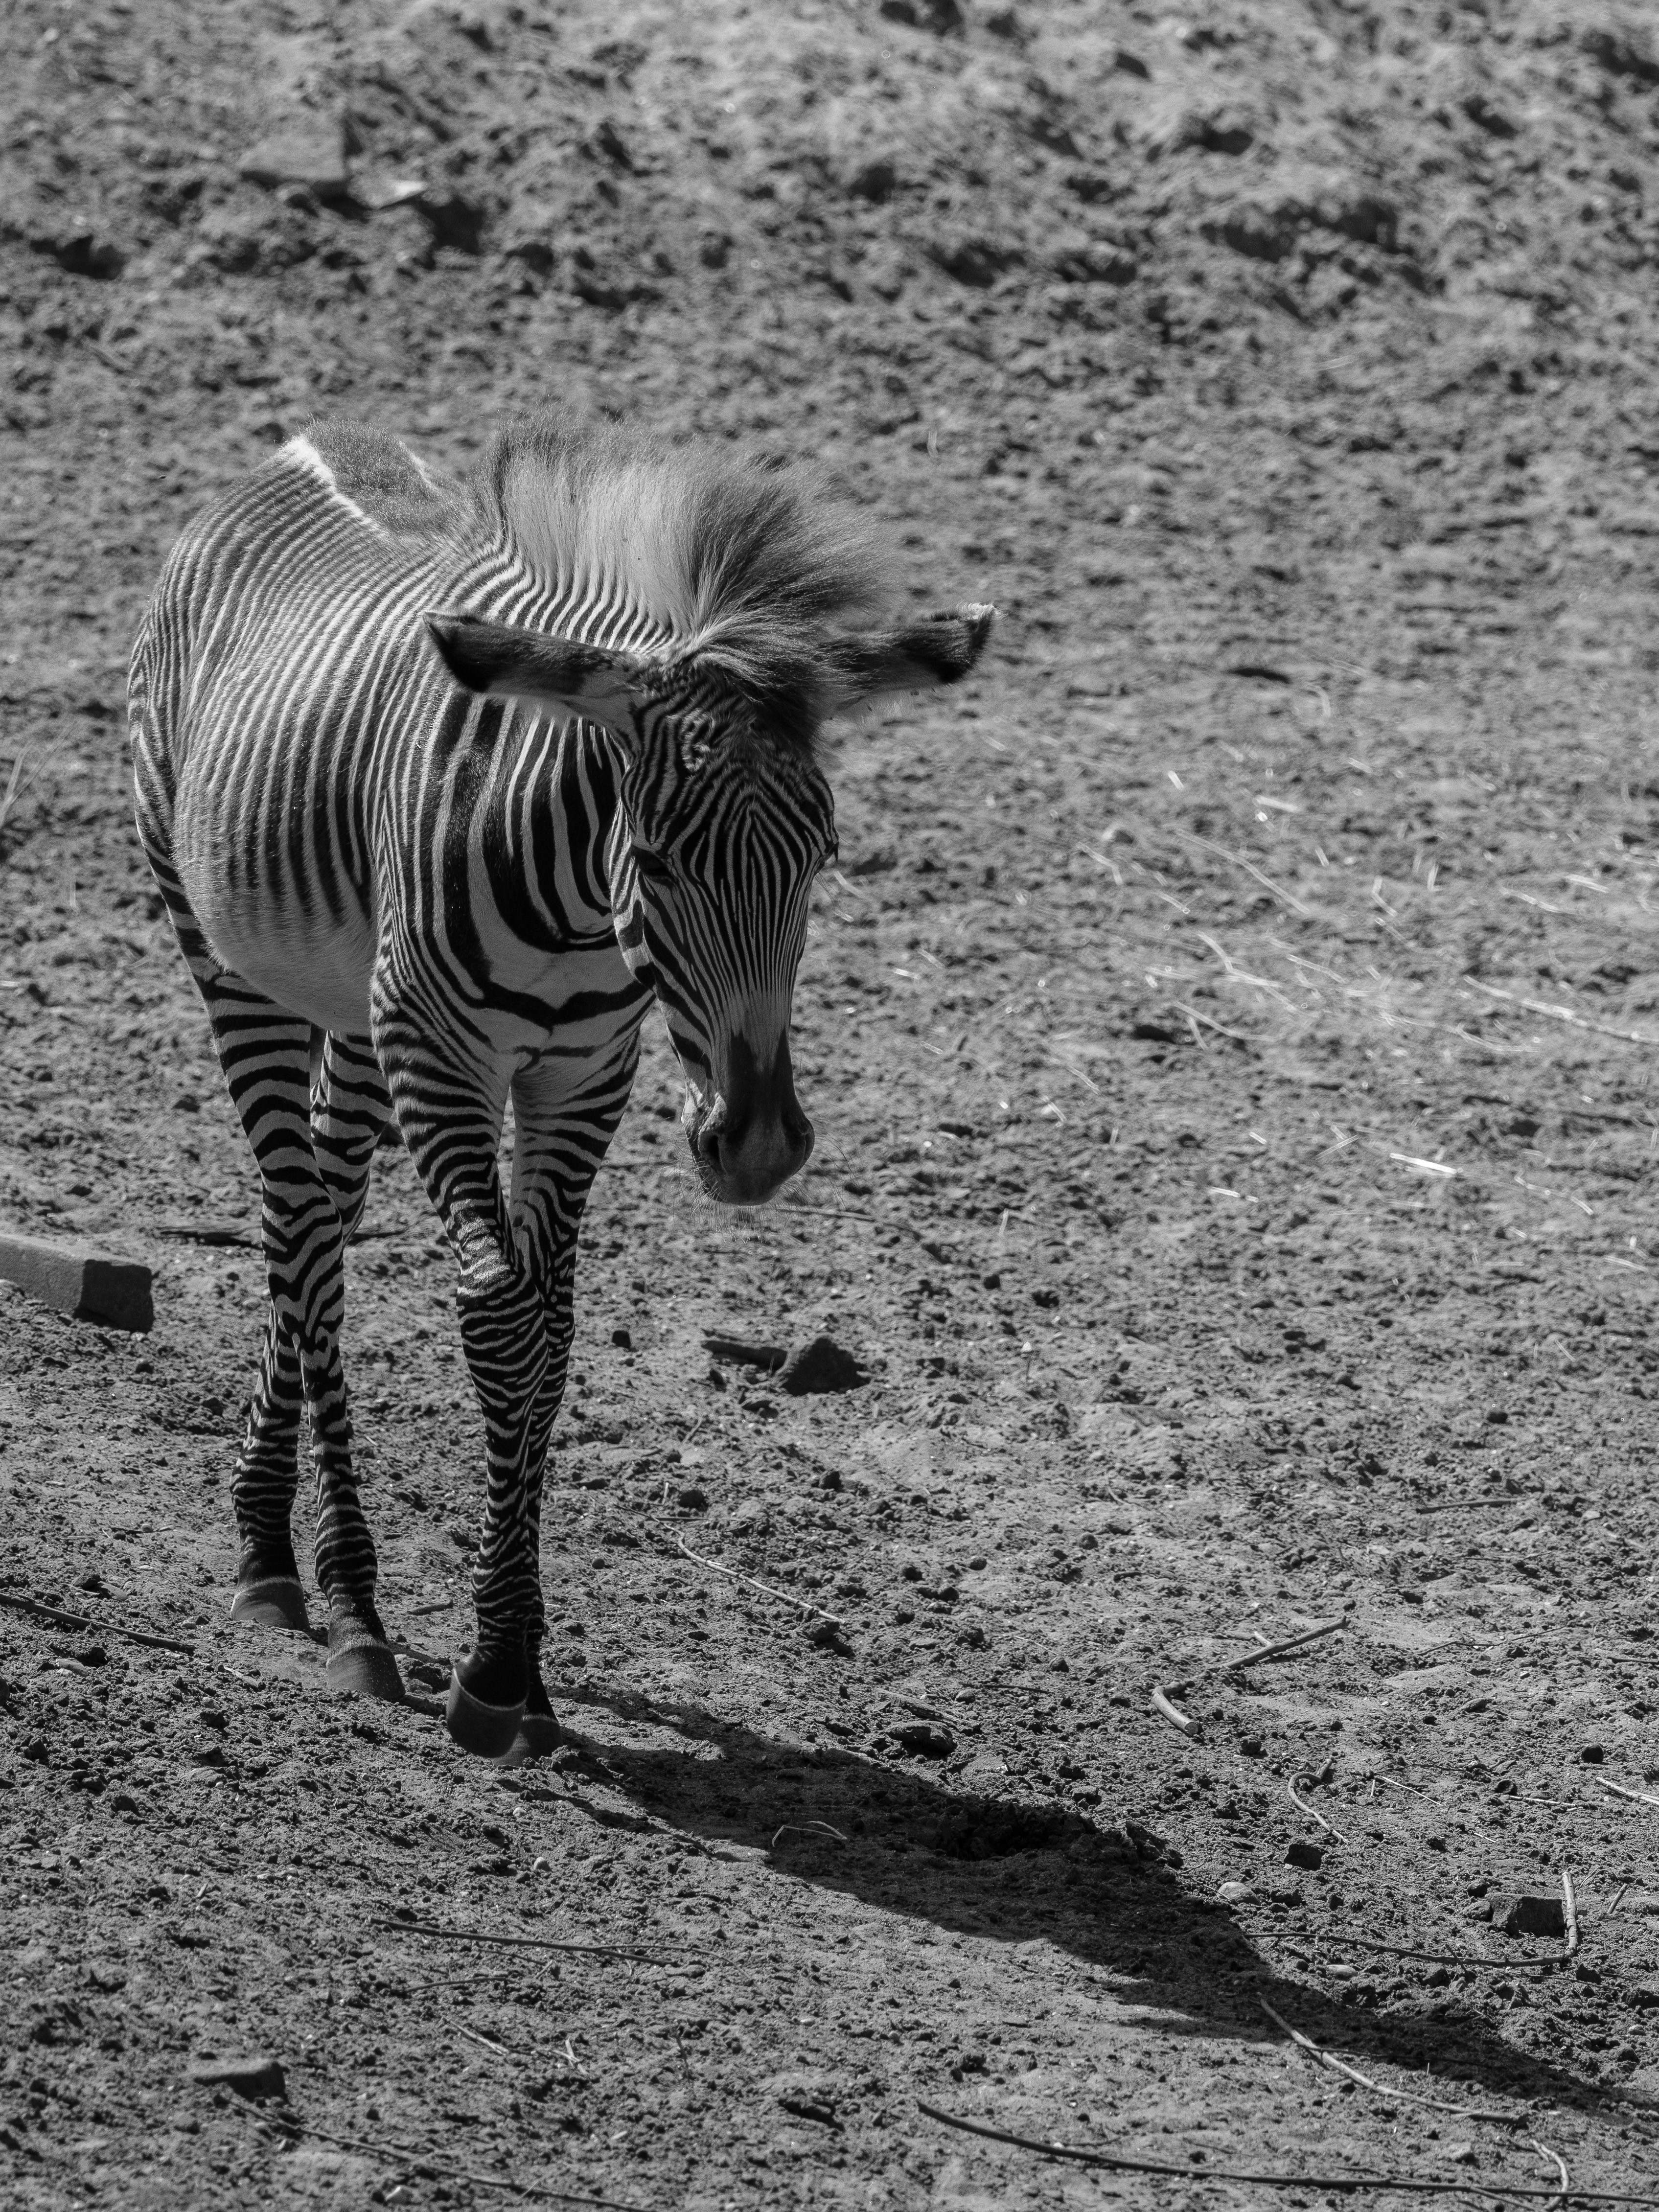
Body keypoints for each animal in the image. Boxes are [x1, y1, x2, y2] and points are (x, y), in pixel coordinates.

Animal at [128, 413, 993, 1758]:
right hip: (224, 947)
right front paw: (488, 1675)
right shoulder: (443, 1056)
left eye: (824, 855)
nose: (756, 1145)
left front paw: (524, 1668)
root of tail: (303, 446)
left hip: (356, 1013)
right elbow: (501, 1317)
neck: (580, 905)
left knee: (319, 1209)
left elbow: (556, 1331)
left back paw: (302, 1558)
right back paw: (316, 1580)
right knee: (294, 1220)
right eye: (657, 858)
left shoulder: (582, 1075)